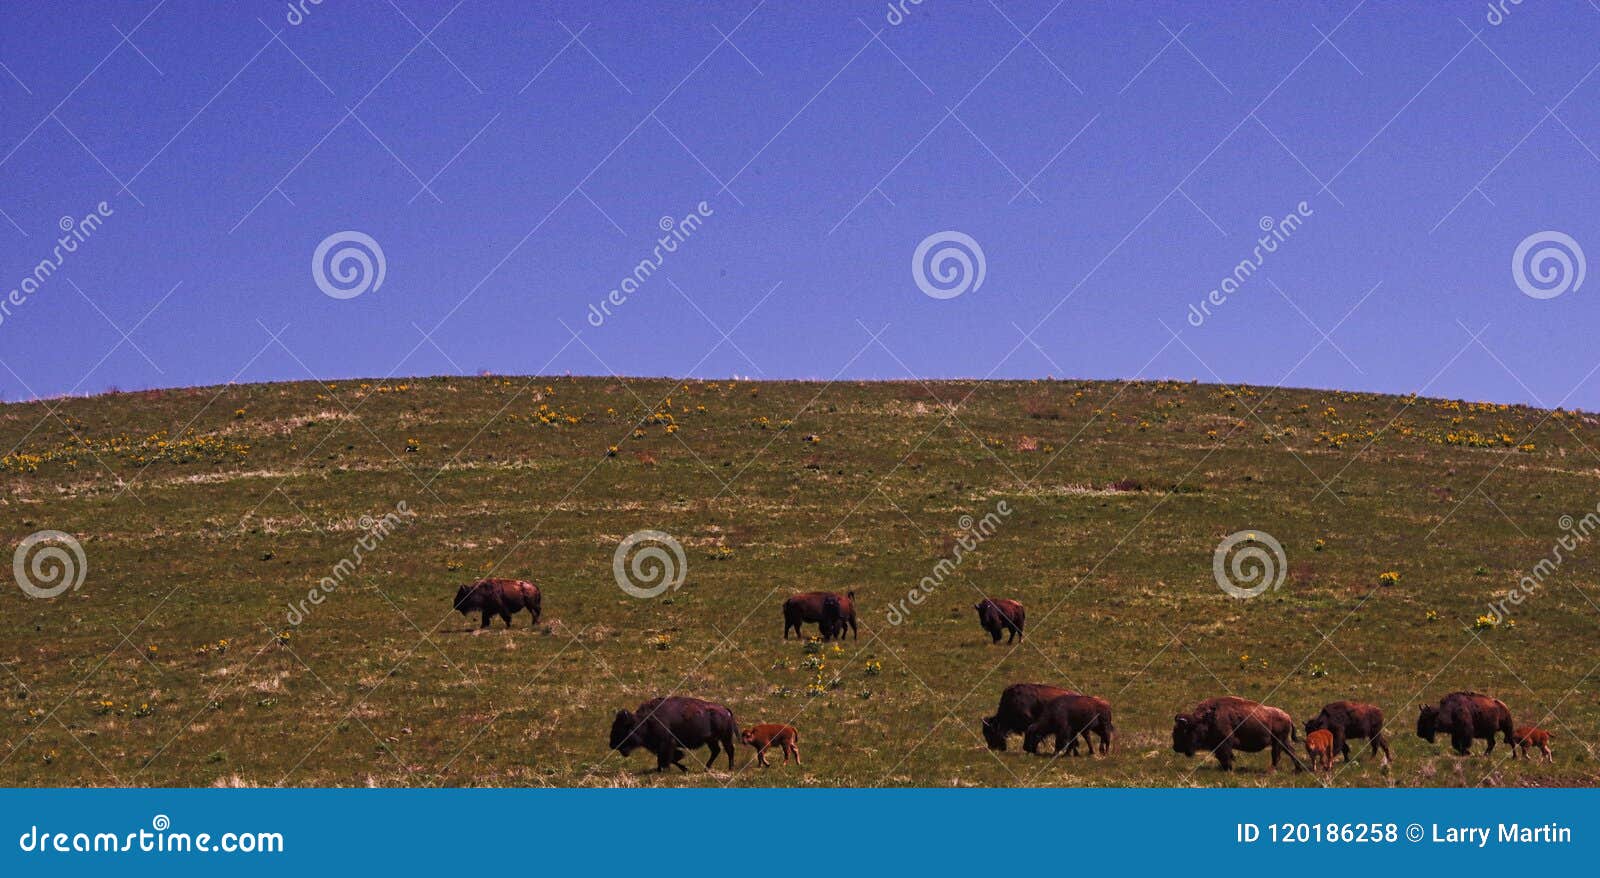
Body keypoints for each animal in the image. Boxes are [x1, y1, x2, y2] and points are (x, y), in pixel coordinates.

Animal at [609, 696, 738, 772]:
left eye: (623, 728)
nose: (612, 745)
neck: (644, 721)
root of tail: (725, 710)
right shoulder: (660, 747)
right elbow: (671, 758)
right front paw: (684, 769)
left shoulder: (666, 744)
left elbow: (669, 758)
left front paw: (665, 770)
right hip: (711, 740)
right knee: (716, 751)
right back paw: (706, 768)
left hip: (725, 738)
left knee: (729, 750)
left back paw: (730, 769)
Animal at [1172, 696, 1304, 772]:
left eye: (1184, 731)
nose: (1175, 748)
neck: (1205, 719)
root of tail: (1288, 717)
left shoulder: (1225, 742)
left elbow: (1226, 756)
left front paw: (1229, 769)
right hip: (1283, 741)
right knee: (1291, 752)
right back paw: (1298, 770)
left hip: (1278, 741)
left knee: (1277, 756)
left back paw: (1271, 771)